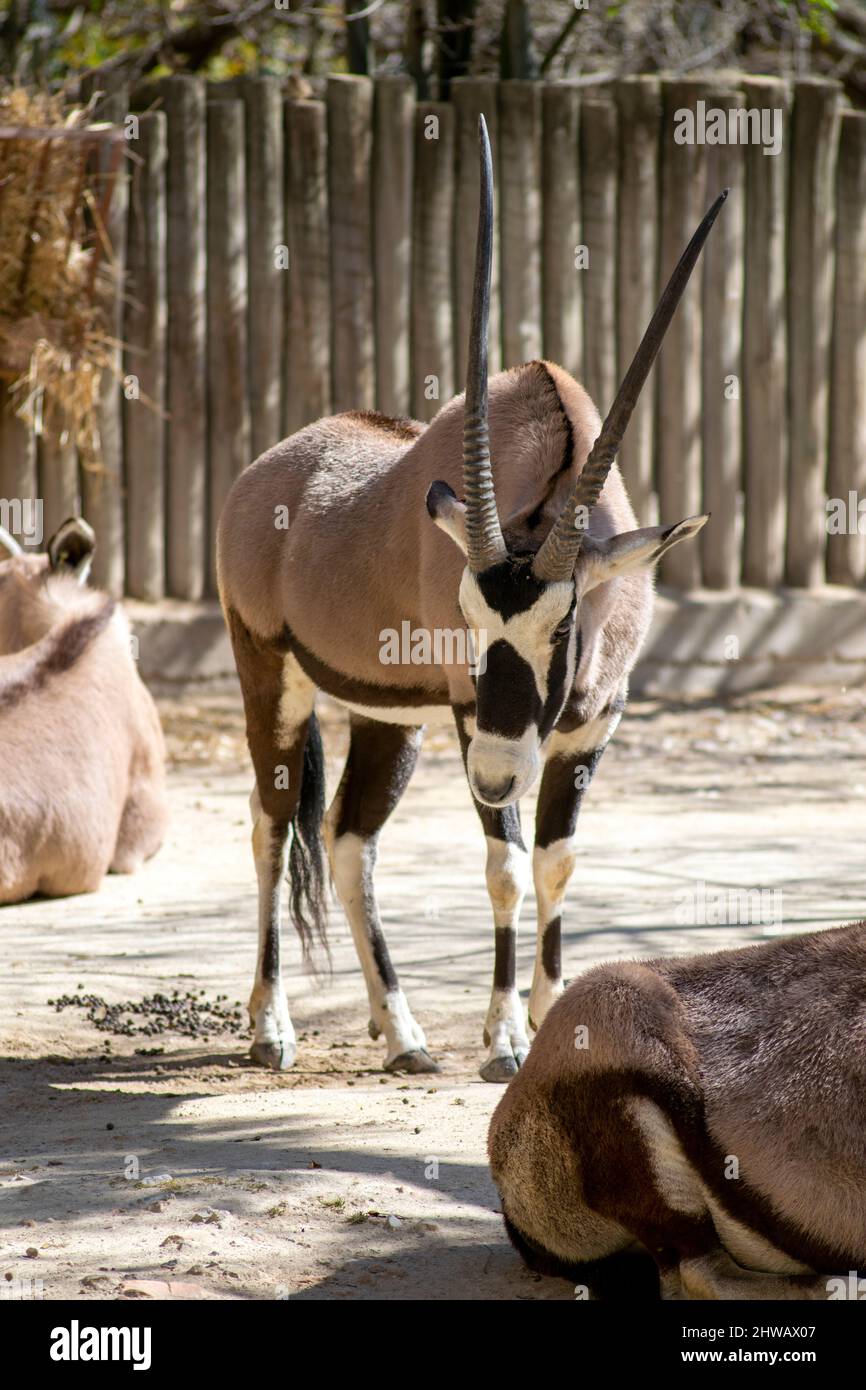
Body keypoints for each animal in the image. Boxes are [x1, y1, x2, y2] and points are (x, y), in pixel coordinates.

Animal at [217, 117, 725, 1081]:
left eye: (563, 624)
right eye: (469, 616)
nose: (493, 775)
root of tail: (264, 472)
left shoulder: (594, 723)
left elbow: (556, 862)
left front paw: (551, 1020)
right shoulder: (466, 711)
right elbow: (506, 868)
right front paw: (503, 1041)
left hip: (388, 717)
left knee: (348, 839)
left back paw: (402, 1032)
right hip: (272, 676)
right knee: (270, 827)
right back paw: (272, 1026)